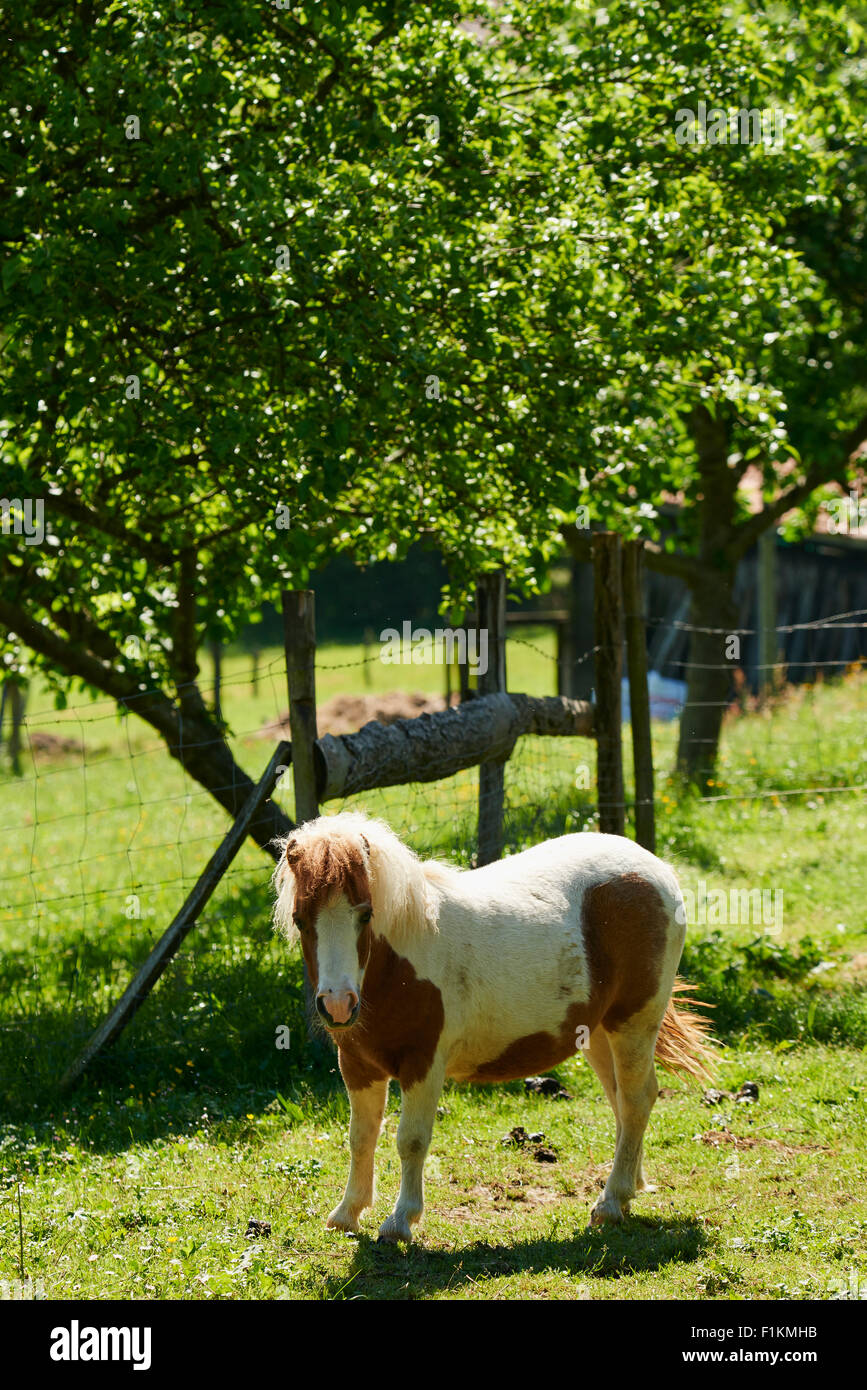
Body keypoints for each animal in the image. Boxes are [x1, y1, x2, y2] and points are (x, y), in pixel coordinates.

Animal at [272, 811, 714, 1243]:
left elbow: (411, 1140)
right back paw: (629, 1189)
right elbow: (361, 1137)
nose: (338, 1005)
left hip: (633, 1022)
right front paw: (348, 1212)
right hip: (599, 1032)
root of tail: (656, 868)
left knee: (637, 1098)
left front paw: (399, 1222)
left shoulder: (423, 1065)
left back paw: (610, 1203)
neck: (399, 963)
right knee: (622, 1099)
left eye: (364, 914)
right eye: (300, 919)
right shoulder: (358, 1066)